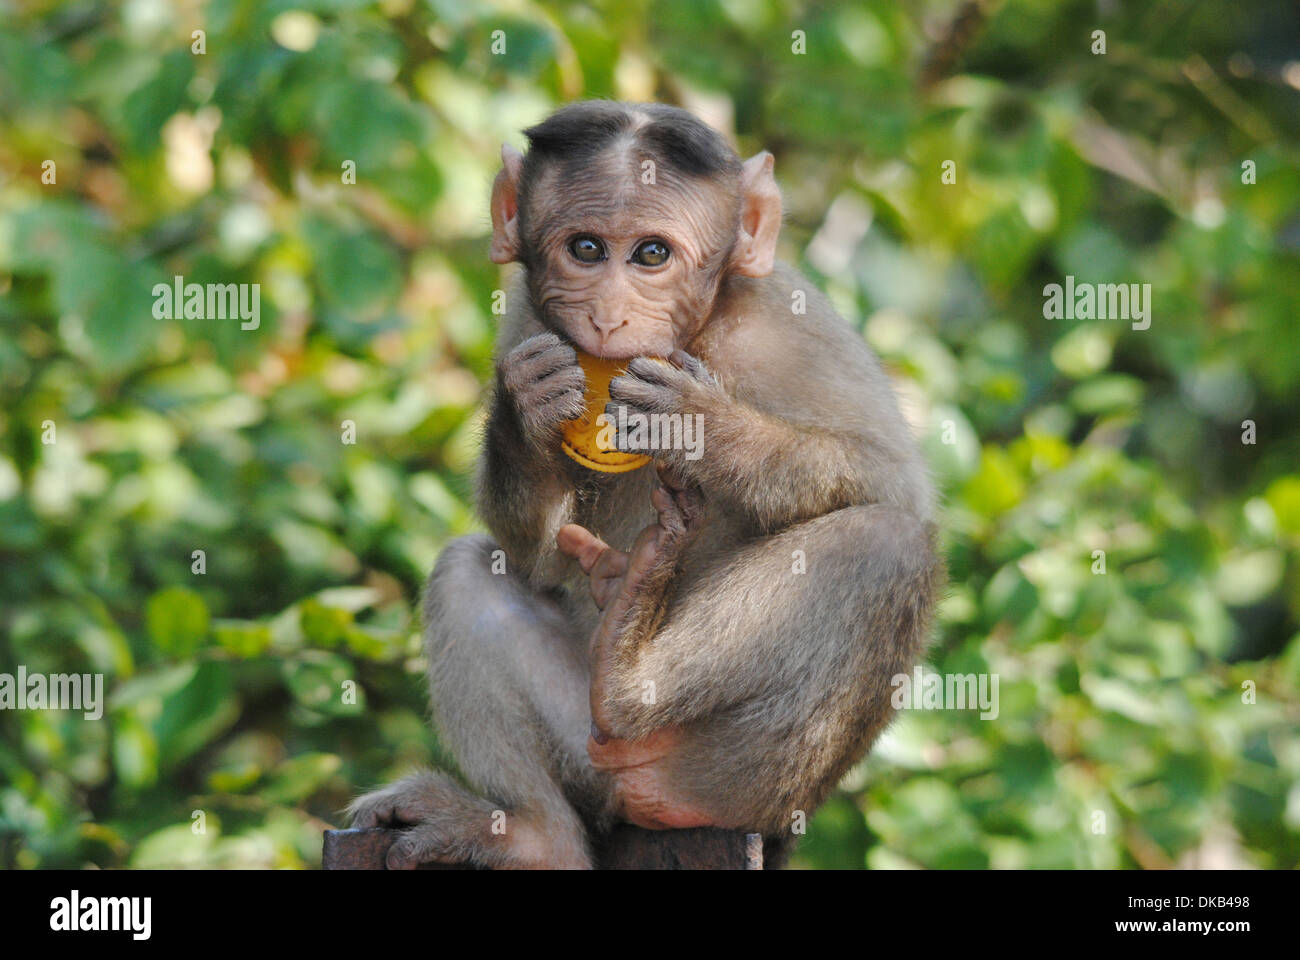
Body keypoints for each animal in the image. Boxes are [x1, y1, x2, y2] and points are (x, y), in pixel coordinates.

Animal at [348, 100, 944, 869]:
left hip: (741, 775)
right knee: (466, 570)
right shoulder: (527, 322)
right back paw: (536, 835)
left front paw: (702, 426)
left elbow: (890, 480)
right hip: (590, 755)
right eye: (586, 249)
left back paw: (630, 675)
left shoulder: (785, 324)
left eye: (652, 255)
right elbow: (534, 555)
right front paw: (524, 412)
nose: (608, 315)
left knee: (888, 543)